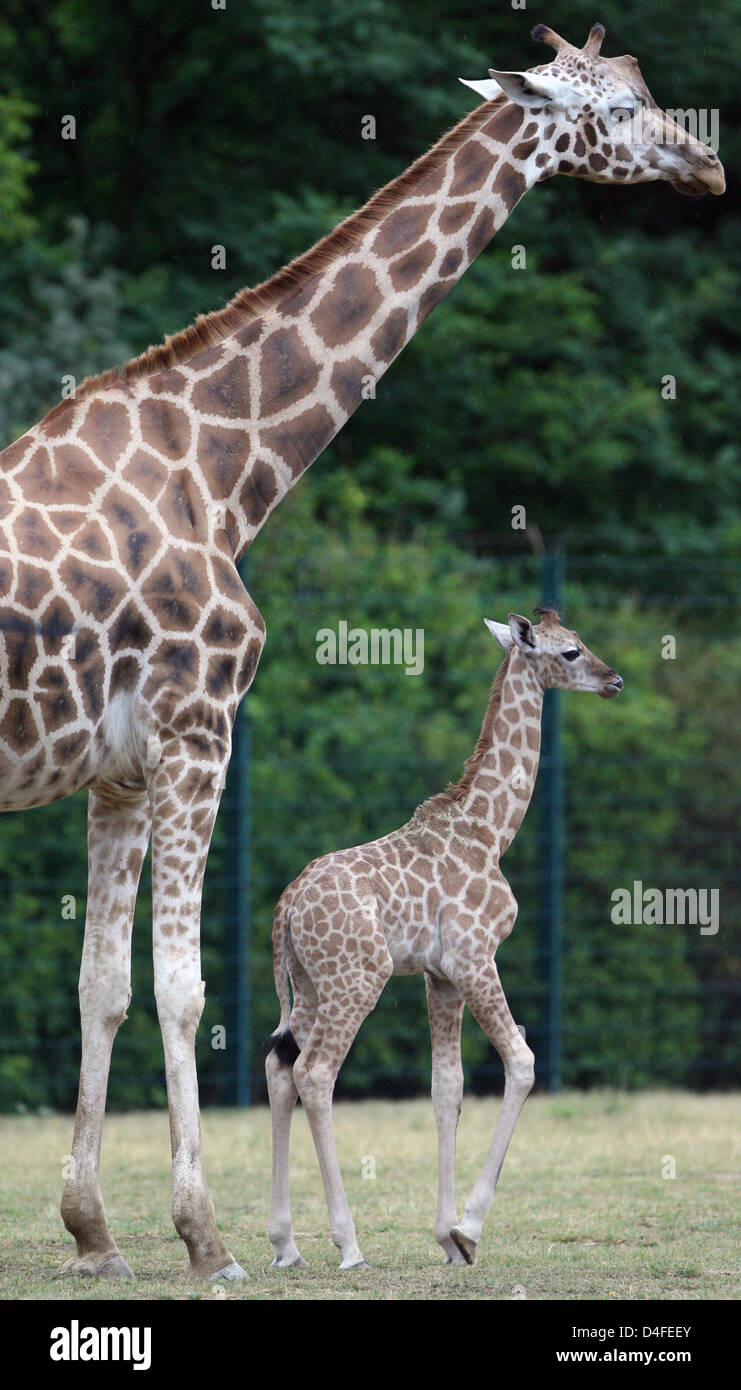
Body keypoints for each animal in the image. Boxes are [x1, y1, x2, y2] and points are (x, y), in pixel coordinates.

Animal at [262, 603, 620, 1267]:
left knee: (279, 1065)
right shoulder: (477, 956)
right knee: (315, 1074)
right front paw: (469, 1229)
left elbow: (446, 1088)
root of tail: (287, 907)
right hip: (357, 978)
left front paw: (446, 1236)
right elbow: (523, 1062)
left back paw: (286, 1244)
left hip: (309, 984)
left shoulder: (440, 976)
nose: (615, 680)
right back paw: (348, 1244)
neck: (490, 831)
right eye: (570, 651)